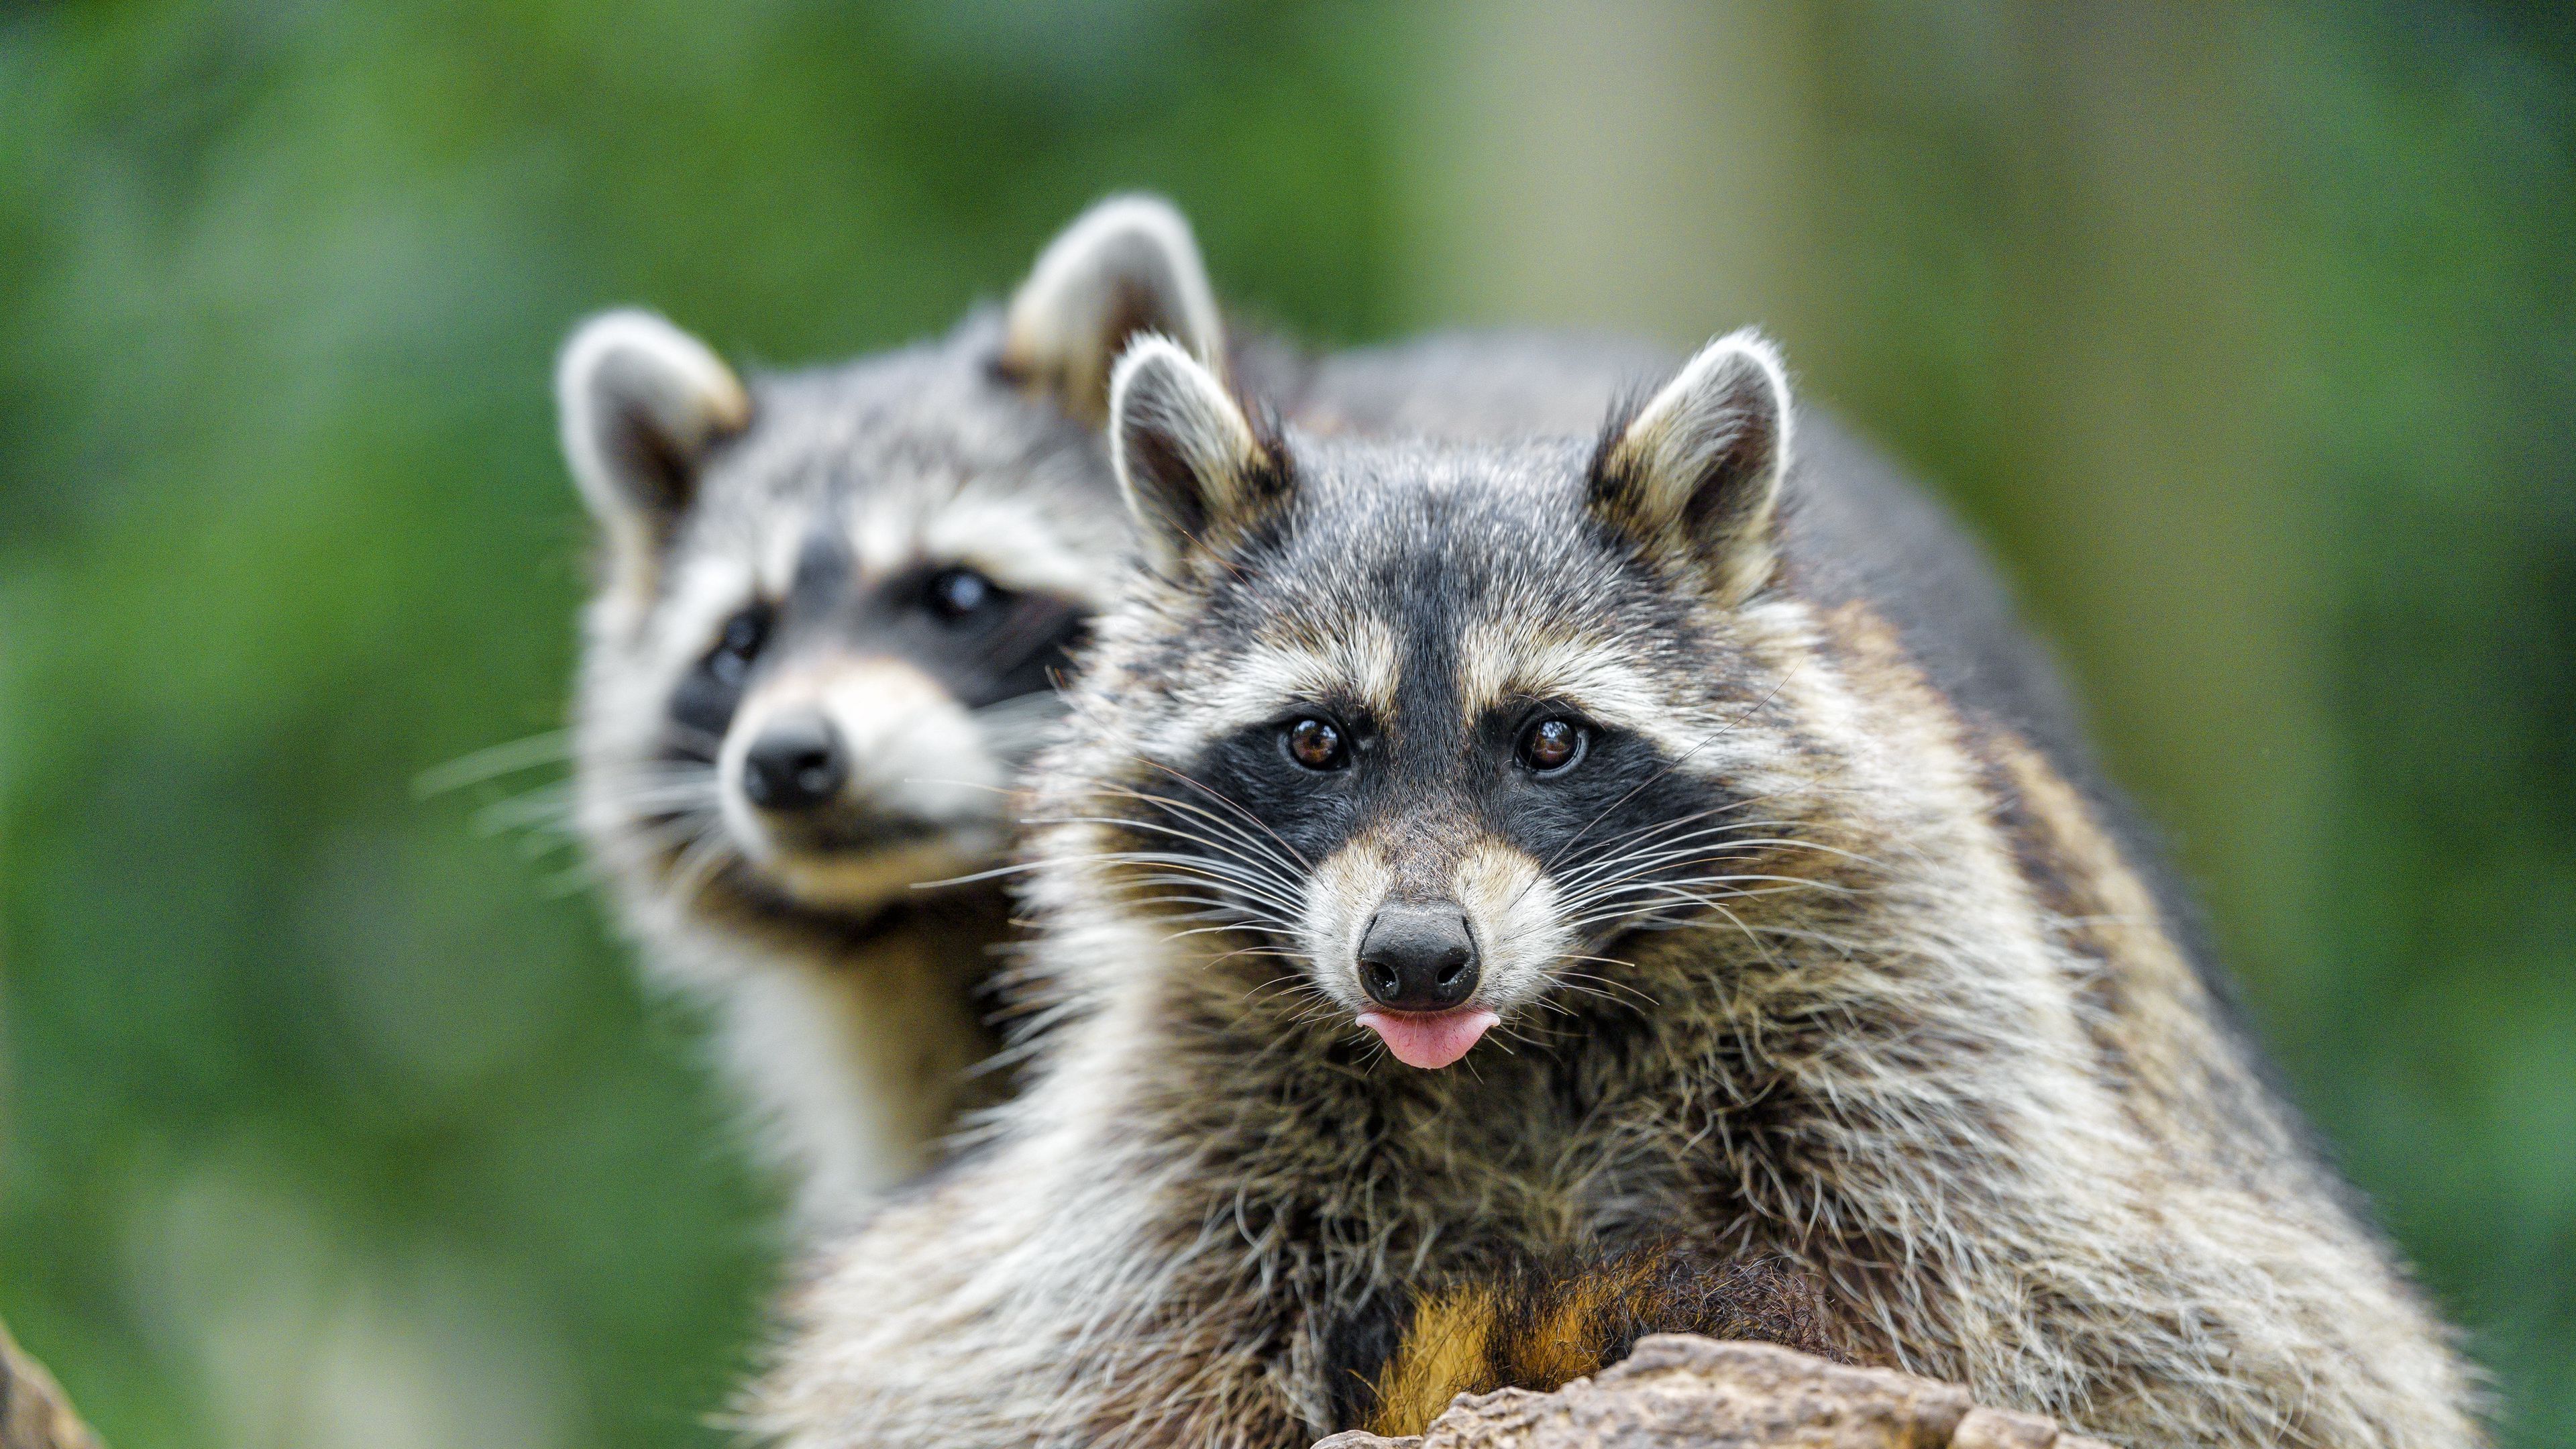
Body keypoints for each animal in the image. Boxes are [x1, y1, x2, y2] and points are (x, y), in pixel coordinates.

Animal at [753, 333, 2482, 1447]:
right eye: (1316, 738)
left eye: (1549, 739)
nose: (1415, 961)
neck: (1517, 1044)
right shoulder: (1188, 1098)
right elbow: (1045, 1351)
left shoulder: (1912, 989)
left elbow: (2031, 1294)